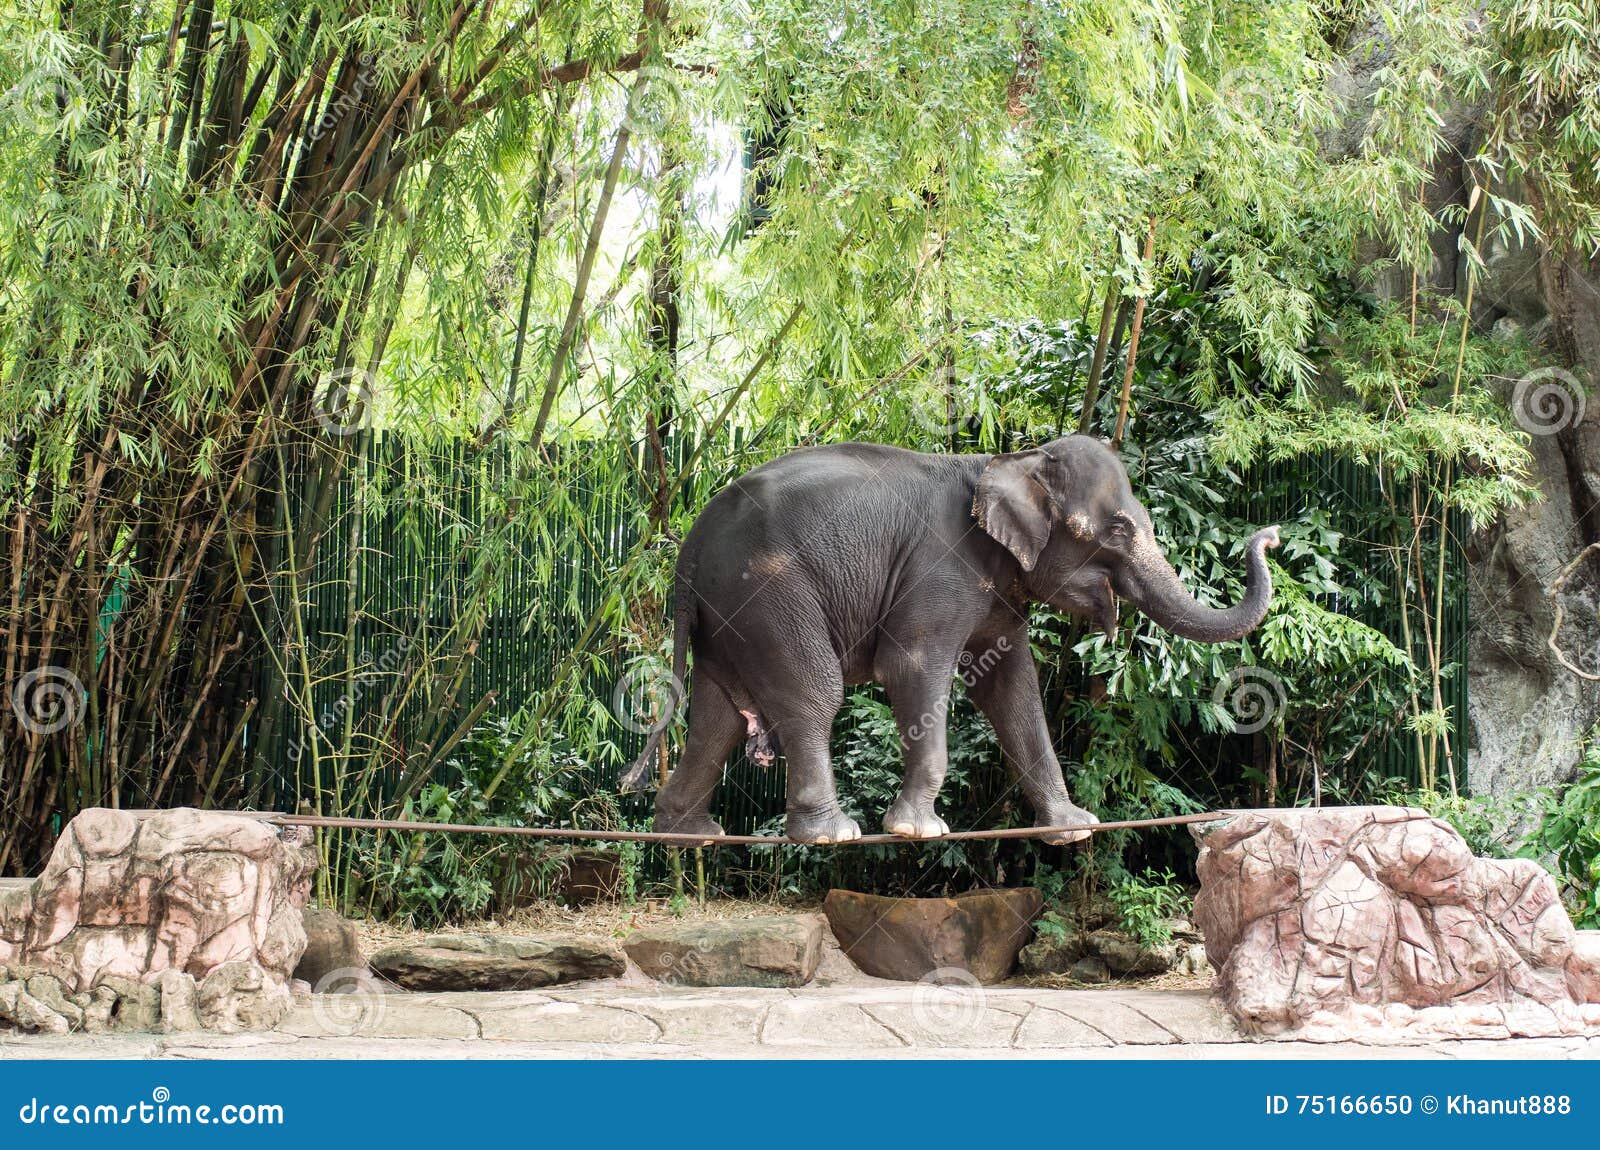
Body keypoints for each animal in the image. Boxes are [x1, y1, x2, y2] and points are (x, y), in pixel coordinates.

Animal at [619, 433, 1279, 845]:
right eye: (1116, 530)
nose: (1268, 535)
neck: (1010, 458)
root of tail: (688, 548)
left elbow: (1014, 689)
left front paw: (1072, 827)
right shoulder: (942, 570)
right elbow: (914, 668)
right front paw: (917, 829)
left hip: (728, 615)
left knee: (717, 716)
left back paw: (687, 833)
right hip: (768, 594)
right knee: (812, 692)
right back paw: (833, 833)